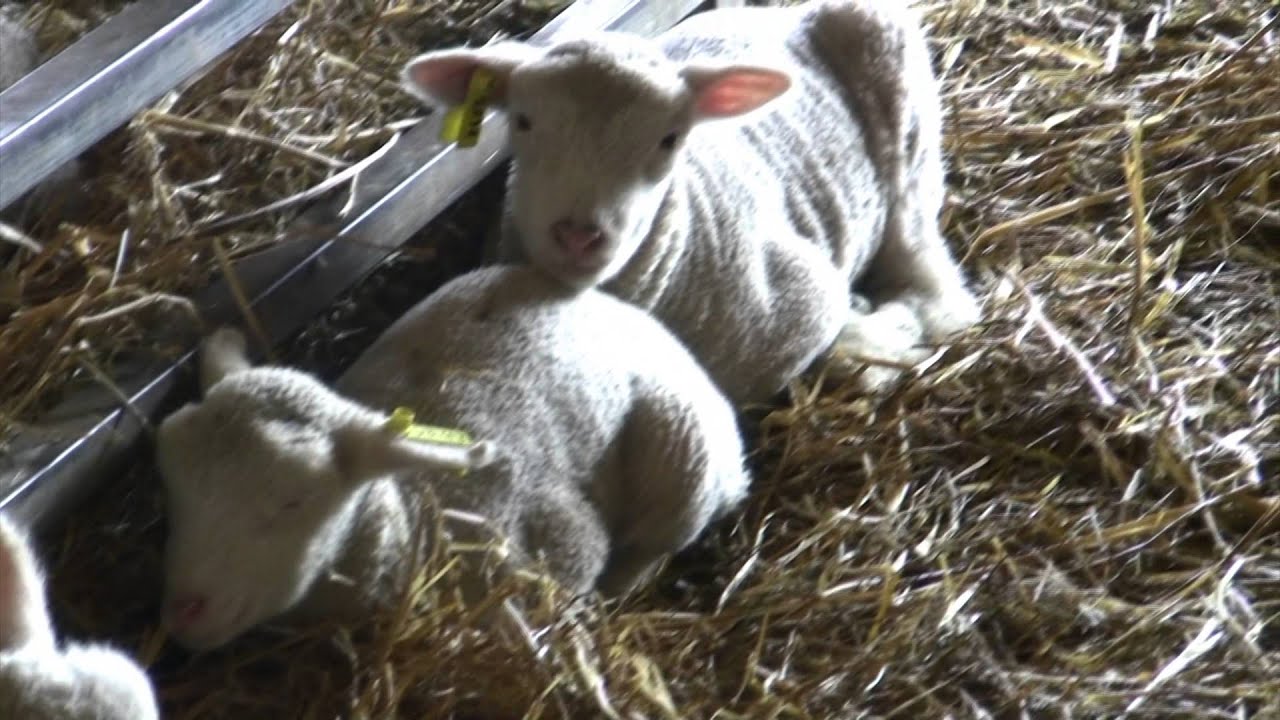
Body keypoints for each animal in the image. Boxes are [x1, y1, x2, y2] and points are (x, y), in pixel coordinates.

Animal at [155, 265, 750, 651]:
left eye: (292, 502)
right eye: (175, 494)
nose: (182, 611)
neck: (415, 506)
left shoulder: (562, 543)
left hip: (685, 457)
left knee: (657, 542)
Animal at [402, 0, 980, 404]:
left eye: (670, 139)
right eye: (522, 122)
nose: (578, 236)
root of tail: (784, 16)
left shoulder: (808, 291)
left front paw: (873, 341)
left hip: (902, 104)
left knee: (928, 269)